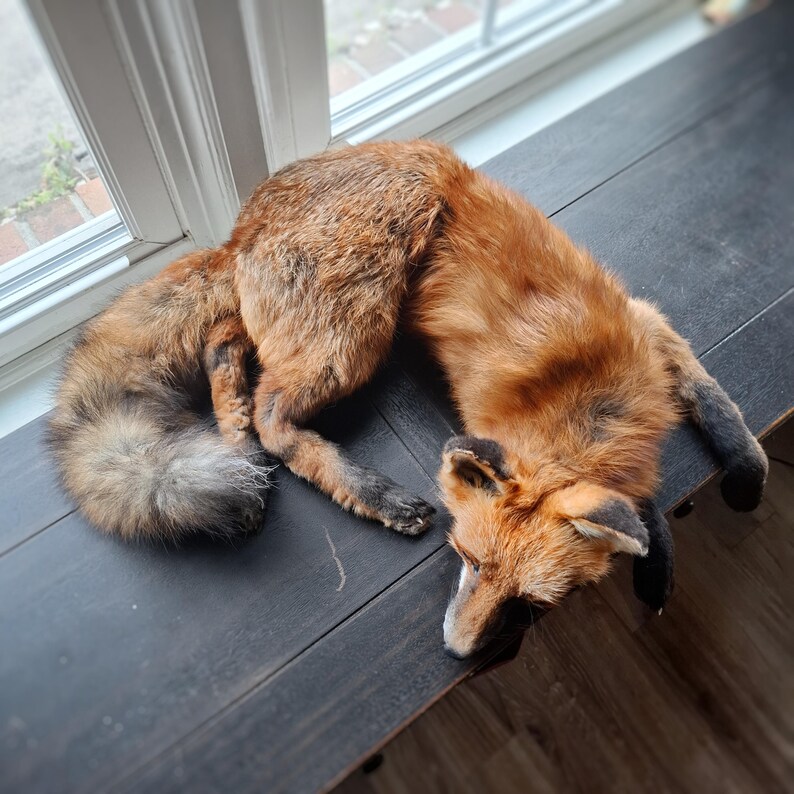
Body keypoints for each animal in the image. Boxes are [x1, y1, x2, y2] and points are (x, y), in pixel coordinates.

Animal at [50, 140, 768, 657]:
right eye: (467, 561)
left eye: (533, 604)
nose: (456, 653)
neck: (584, 391)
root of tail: (239, 228)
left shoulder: (647, 324)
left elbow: (714, 409)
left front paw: (724, 495)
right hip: (356, 330)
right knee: (273, 414)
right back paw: (370, 493)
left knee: (225, 350)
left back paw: (238, 449)